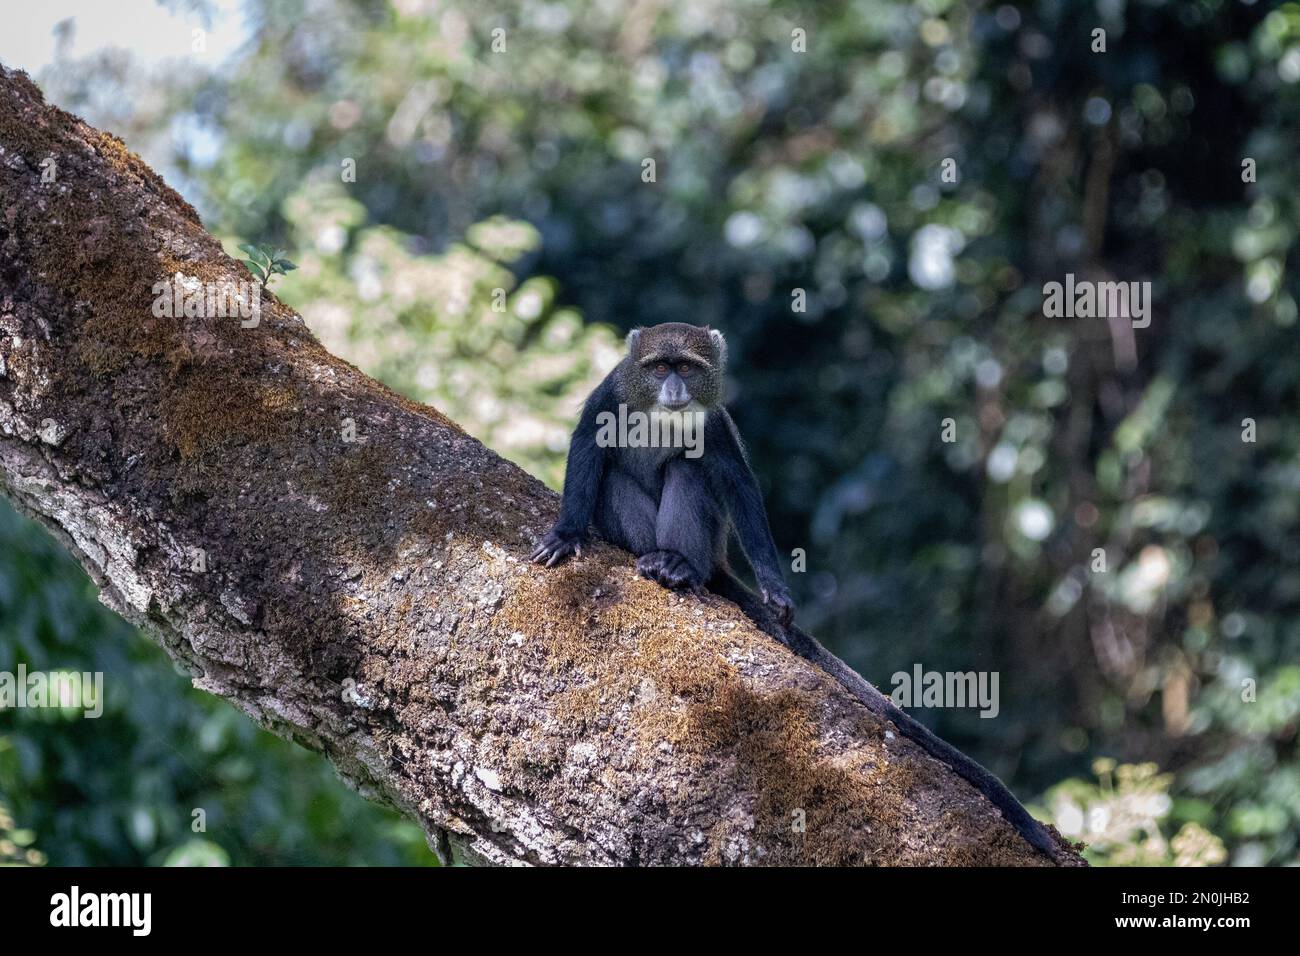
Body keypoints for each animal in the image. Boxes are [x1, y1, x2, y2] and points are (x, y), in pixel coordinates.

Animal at [531, 321, 1065, 862]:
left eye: (687, 368)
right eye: (660, 367)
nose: (676, 391)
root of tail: (715, 560)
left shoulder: (715, 422)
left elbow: (737, 482)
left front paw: (775, 585)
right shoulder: (609, 396)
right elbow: (588, 448)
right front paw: (567, 533)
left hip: (710, 539)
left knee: (688, 471)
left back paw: (680, 566)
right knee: (616, 477)